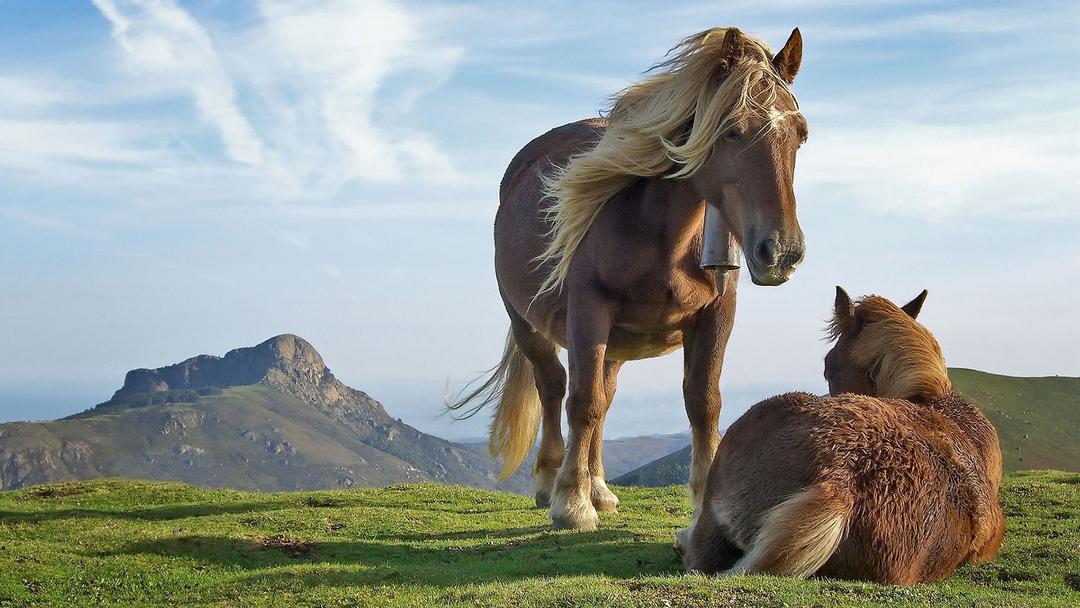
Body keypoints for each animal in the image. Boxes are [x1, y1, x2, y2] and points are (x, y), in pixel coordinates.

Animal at [449, 26, 809, 531]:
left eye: (800, 135)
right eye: (732, 131)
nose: (781, 253)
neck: (660, 232)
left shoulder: (717, 314)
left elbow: (703, 402)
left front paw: (701, 505)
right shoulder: (588, 312)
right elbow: (580, 401)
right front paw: (572, 504)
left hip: (617, 343)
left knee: (605, 397)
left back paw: (599, 486)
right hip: (529, 324)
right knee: (554, 387)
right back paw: (552, 480)